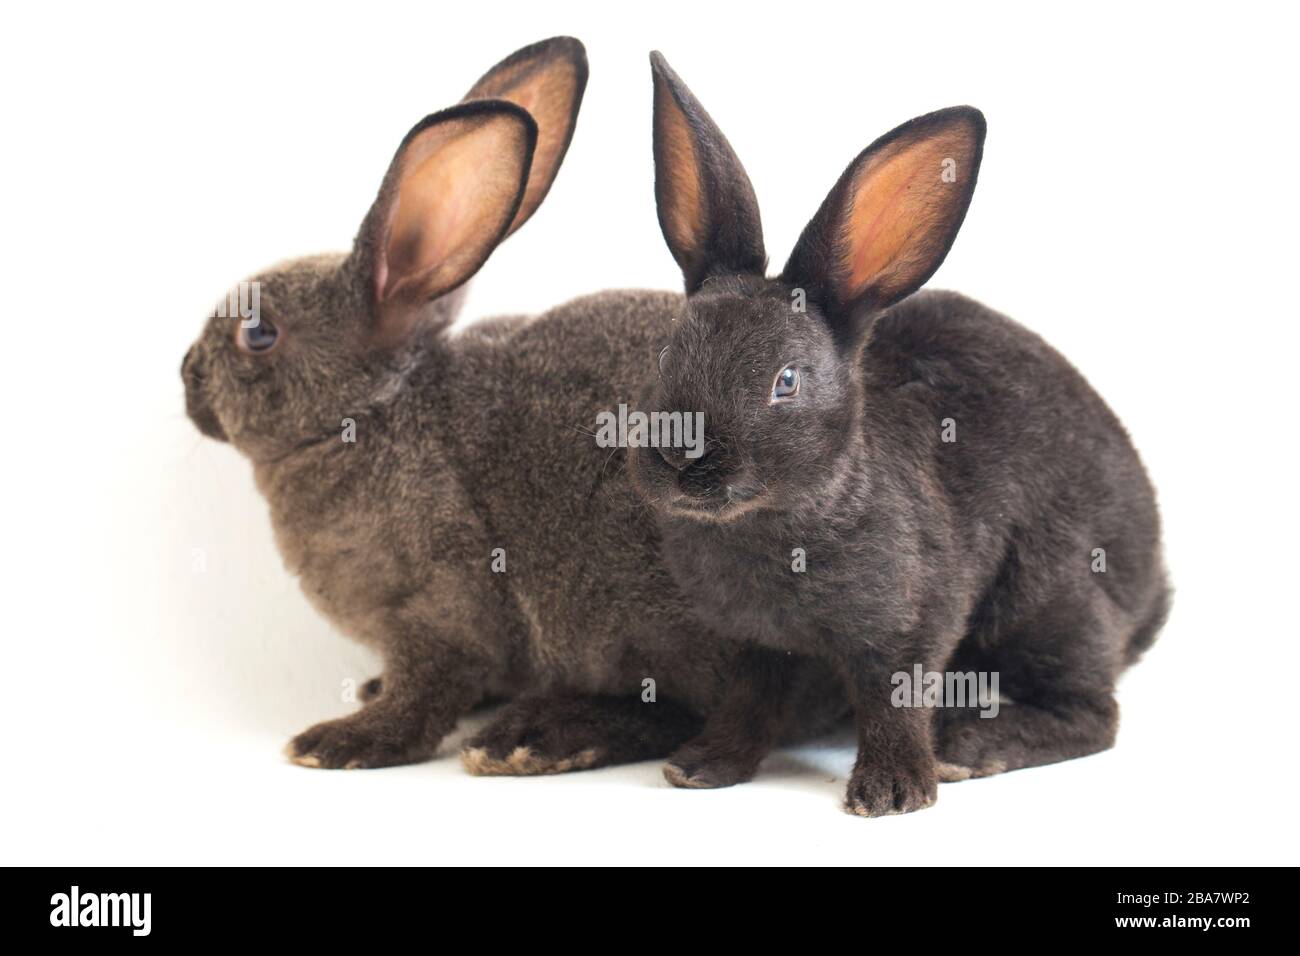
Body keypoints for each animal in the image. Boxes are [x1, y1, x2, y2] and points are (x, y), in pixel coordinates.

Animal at [181, 38, 845, 774]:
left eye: (257, 333)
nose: (186, 379)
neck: (367, 414)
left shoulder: (444, 604)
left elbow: (427, 687)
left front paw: (342, 740)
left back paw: (532, 737)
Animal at [629, 52, 1170, 815]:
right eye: (666, 356)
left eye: (786, 382)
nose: (681, 459)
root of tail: (1154, 593)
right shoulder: (759, 644)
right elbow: (751, 702)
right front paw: (702, 766)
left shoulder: (913, 624)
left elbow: (894, 701)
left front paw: (890, 794)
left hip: (1050, 595)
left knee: (1094, 712)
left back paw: (972, 744)